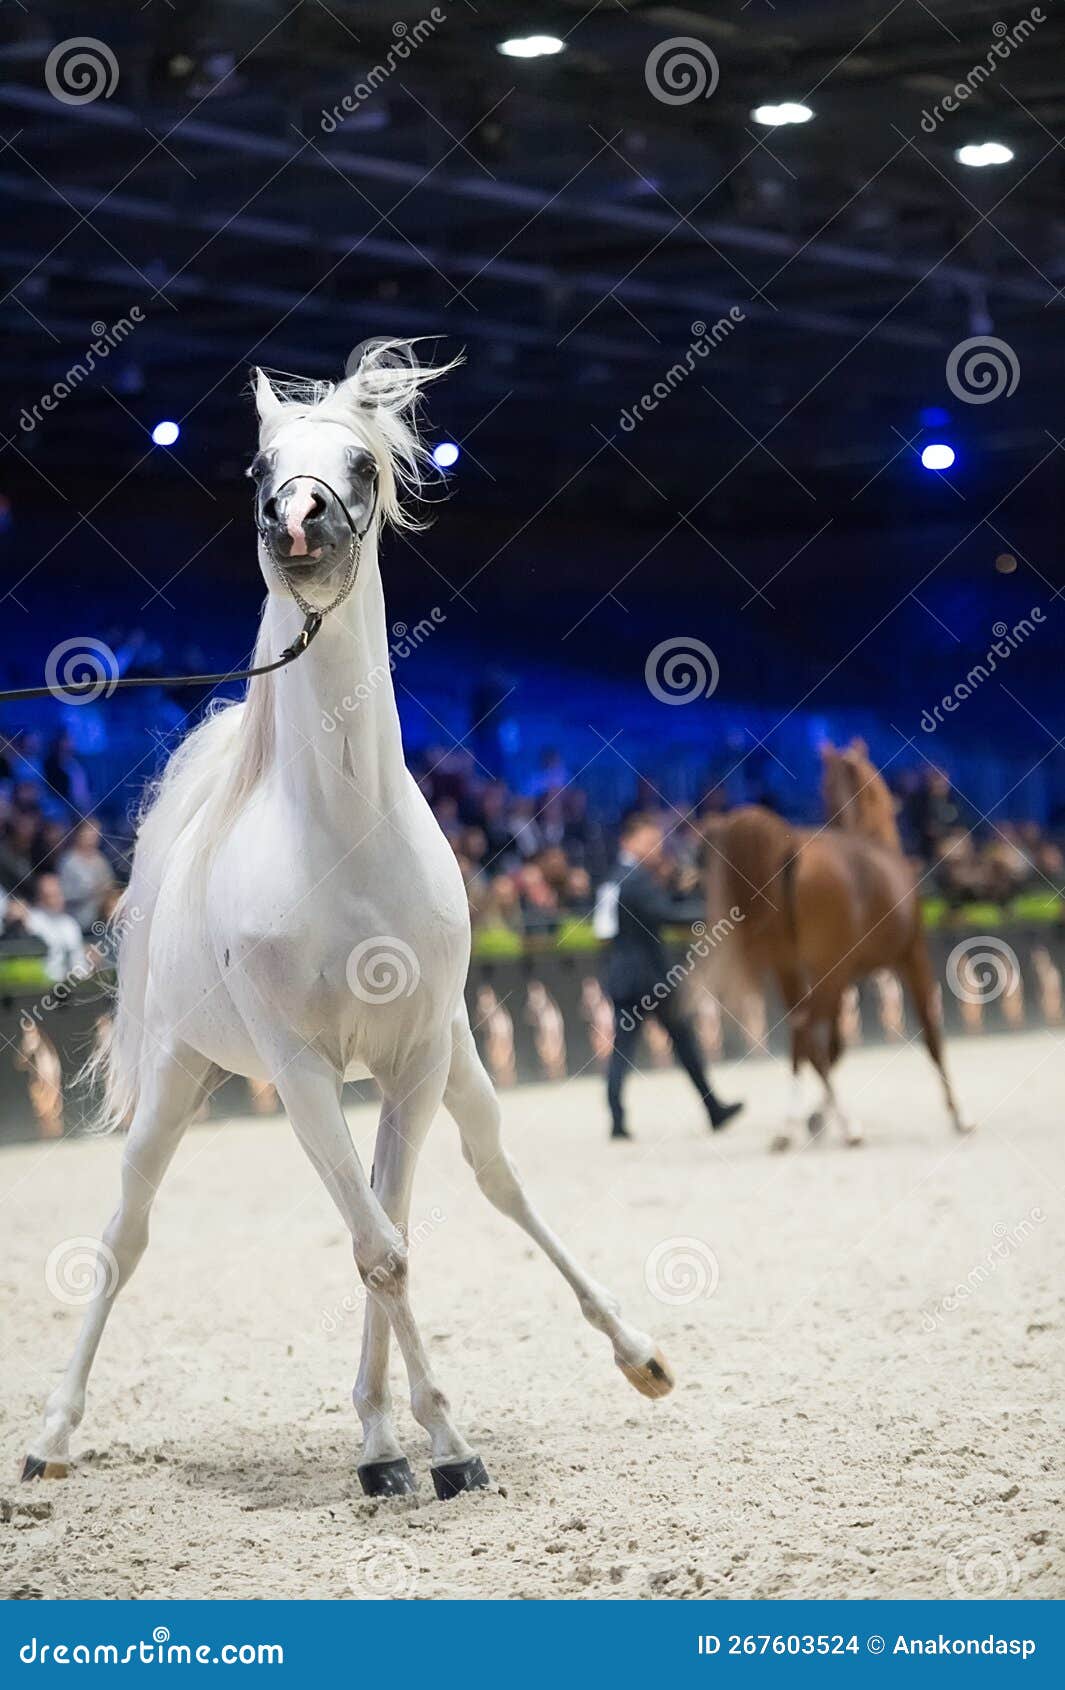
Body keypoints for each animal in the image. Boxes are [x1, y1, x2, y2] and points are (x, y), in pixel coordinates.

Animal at [24, 344, 673, 1497]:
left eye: (363, 465)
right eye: (256, 468)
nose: (298, 520)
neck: (343, 837)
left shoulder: (413, 1055)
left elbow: (397, 1230)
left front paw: (421, 1443)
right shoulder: (301, 1068)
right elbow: (381, 1248)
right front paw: (431, 1442)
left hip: (458, 1060)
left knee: (493, 1180)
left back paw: (631, 1355)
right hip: (189, 1077)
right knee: (129, 1230)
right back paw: (56, 1440)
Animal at [705, 740, 969, 1147]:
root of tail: (792, 851)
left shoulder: (844, 978)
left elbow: (835, 1046)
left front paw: (816, 1116)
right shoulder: (911, 957)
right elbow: (931, 1034)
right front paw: (959, 1115)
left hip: (791, 968)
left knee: (803, 1031)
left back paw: (796, 1124)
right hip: (830, 969)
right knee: (812, 1032)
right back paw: (843, 1124)